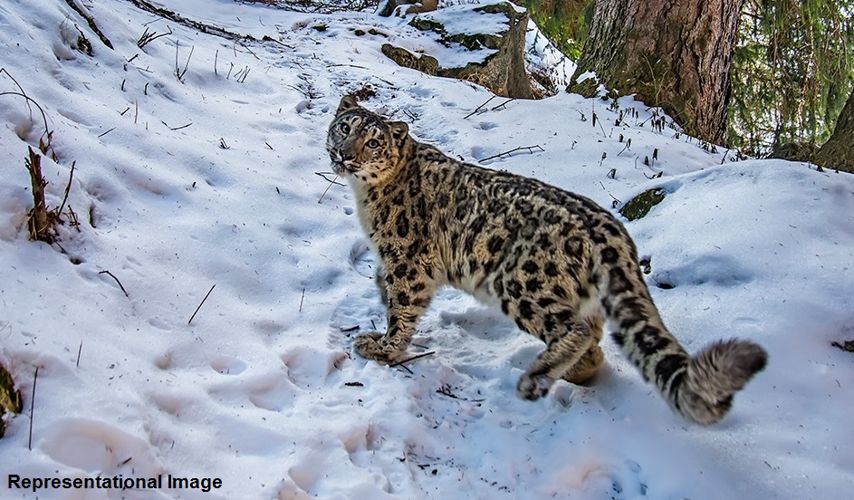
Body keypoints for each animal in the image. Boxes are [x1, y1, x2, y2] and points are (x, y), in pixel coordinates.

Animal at [326, 95, 767, 425]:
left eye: (374, 142)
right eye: (346, 127)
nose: (344, 155)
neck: (366, 197)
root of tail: (613, 231)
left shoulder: (407, 260)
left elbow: (402, 308)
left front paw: (383, 348)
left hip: (521, 283)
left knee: (576, 330)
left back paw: (536, 378)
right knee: (593, 337)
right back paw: (572, 373)